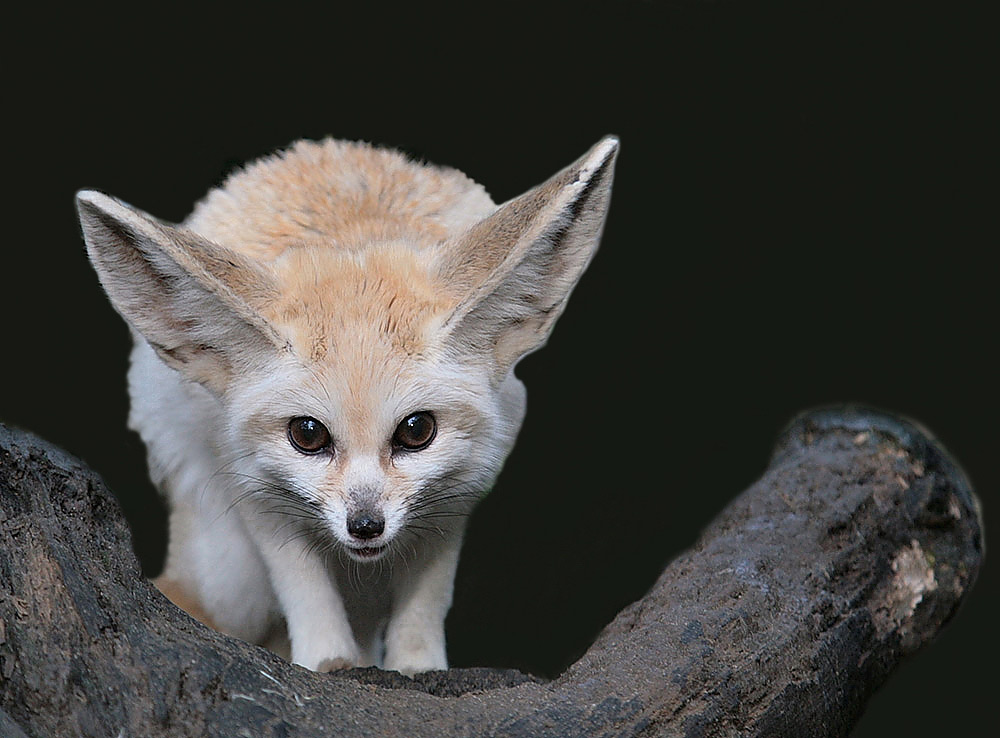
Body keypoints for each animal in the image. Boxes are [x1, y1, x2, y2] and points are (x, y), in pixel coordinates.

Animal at [76, 134, 618, 675]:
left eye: (417, 430)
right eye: (307, 434)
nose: (365, 527)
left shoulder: (458, 495)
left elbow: (424, 602)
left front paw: (417, 667)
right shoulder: (253, 490)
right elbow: (305, 588)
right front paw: (326, 660)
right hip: (231, 574)